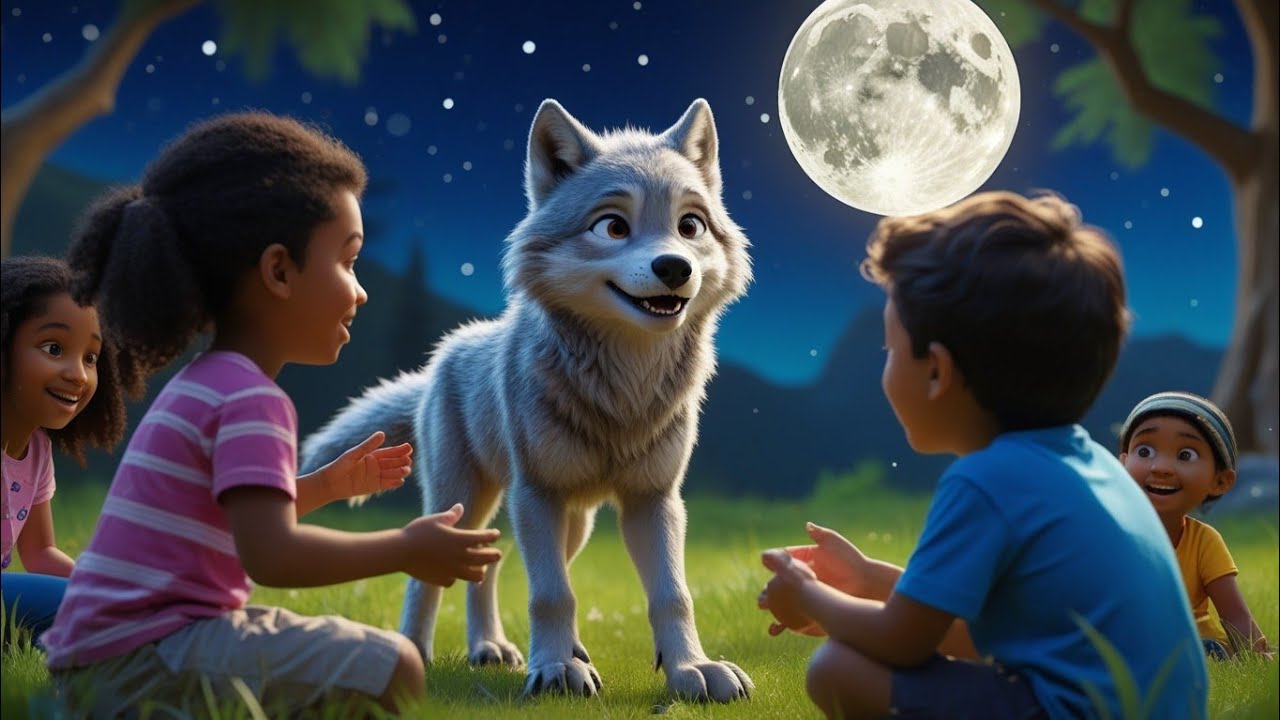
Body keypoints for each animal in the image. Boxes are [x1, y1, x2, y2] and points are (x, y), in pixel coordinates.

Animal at [300, 99, 753, 701]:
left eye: (690, 226)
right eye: (613, 226)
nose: (674, 267)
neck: (624, 390)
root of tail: (441, 356)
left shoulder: (653, 500)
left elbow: (671, 595)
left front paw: (691, 670)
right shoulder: (537, 494)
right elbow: (551, 594)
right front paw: (556, 670)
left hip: (570, 523)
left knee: (489, 565)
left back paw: (493, 648)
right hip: (466, 499)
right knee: (433, 570)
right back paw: (419, 650)